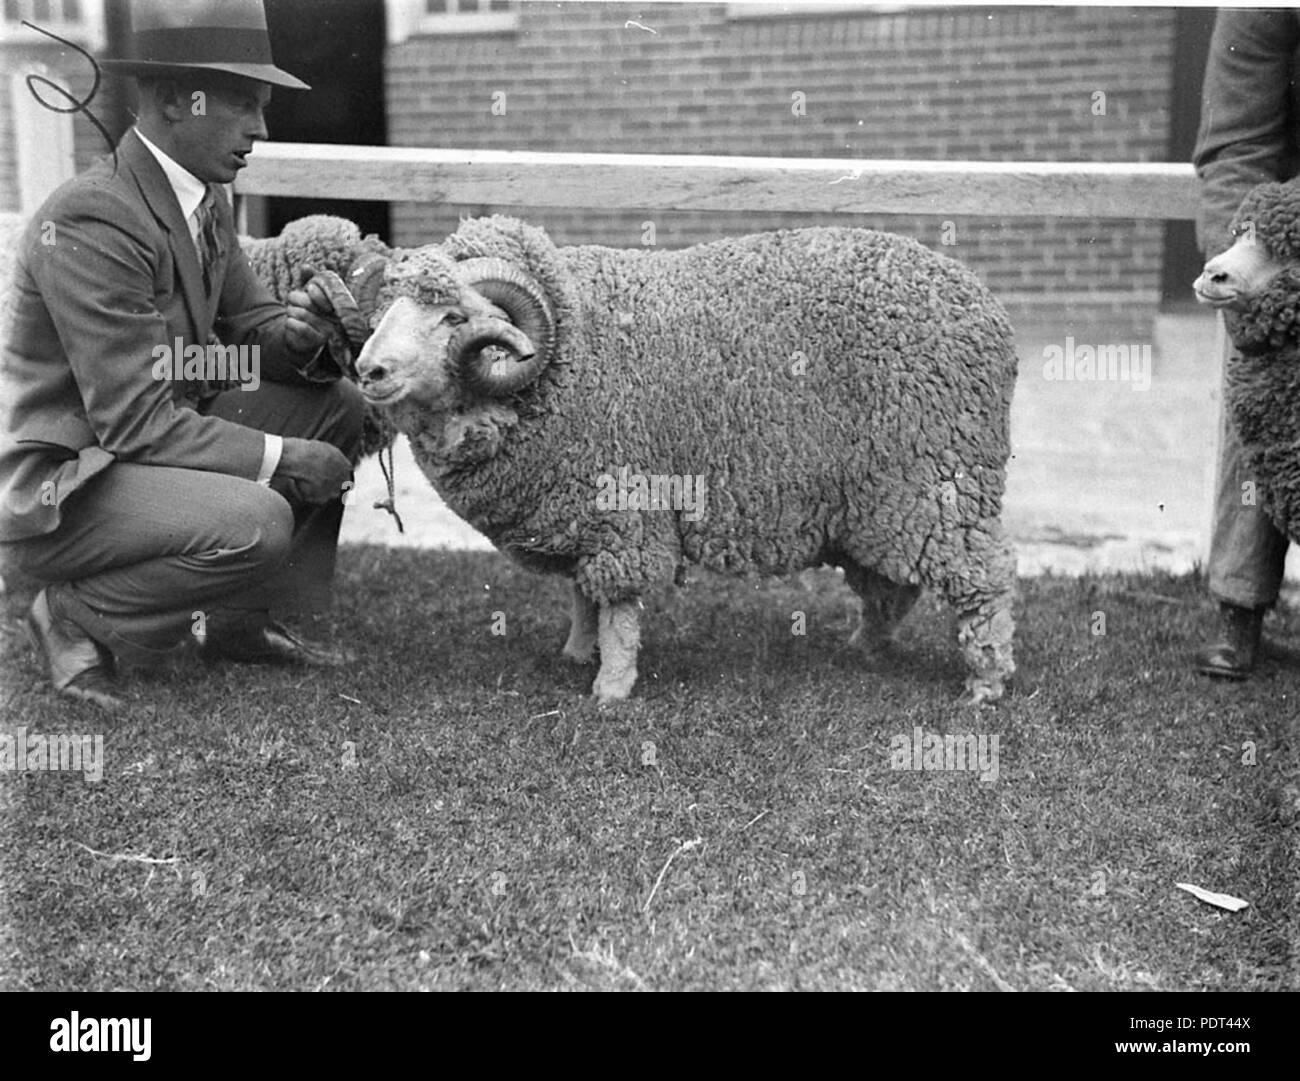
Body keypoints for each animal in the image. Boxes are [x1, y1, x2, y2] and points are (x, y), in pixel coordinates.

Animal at [345, 214, 1019, 706]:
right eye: (386, 311)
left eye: (453, 315)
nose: (368, 370)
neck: (572, 348)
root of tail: (984, 303)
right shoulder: (582, 514)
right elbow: (582, 595)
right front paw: (576, 652)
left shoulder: (622, 510)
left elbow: (617, 606)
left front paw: (610, 689)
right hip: (877, 502)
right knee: (892, 588)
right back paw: (862, 648)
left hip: (937, 479)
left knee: (984, 577)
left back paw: (985, 683)